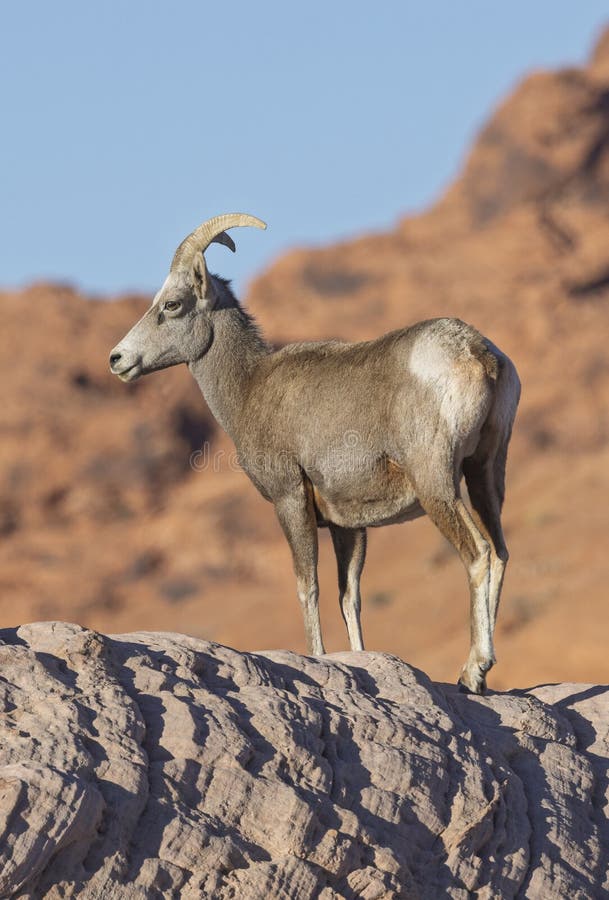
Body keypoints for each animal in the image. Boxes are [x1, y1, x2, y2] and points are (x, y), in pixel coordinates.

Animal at [109, 214, 520, 693]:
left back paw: (473, 671)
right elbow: (350, 597)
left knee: (479, 554)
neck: (250, 388)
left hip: (437, 486)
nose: (118, 359)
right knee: (501, 553)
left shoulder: (290, 500)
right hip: (484, 474)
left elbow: (309, 587)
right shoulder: (349, 524)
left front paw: (318, 657)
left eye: (172, 304)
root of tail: (479, 353)